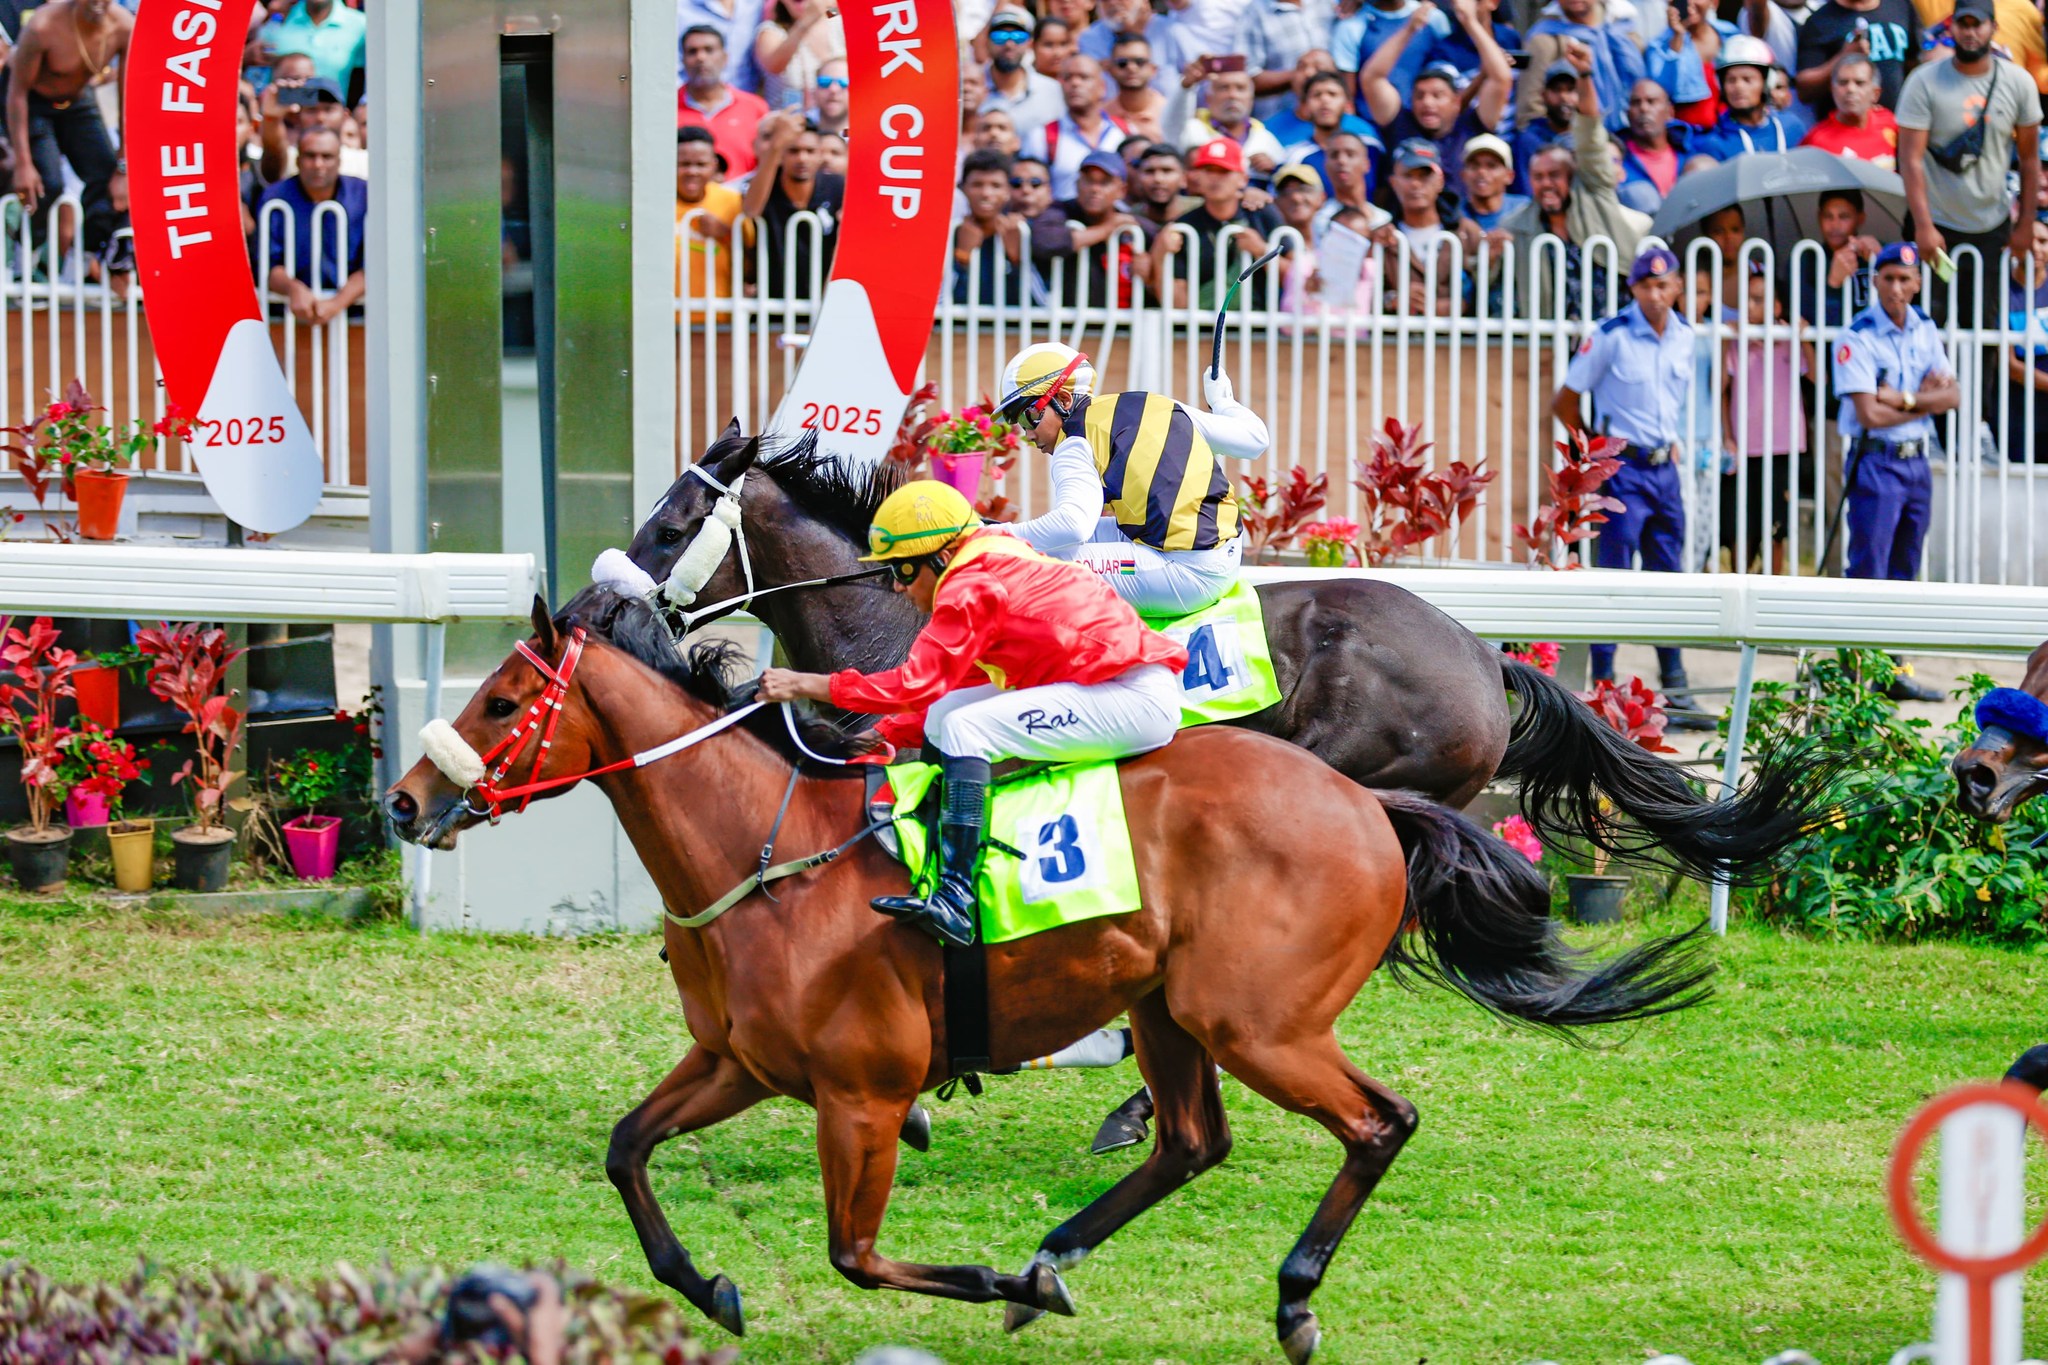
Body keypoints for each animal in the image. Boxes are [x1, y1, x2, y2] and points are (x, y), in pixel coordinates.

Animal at [384, 586, 1713, 1363]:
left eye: (501, 699)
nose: (402, 803)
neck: (765, 852)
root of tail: (1363, 803)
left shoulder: (861, 1091)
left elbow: (854, 1253)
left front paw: (976, 1273)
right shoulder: (736, 1062)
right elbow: (626, 1151)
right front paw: (709, 1287)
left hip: (1259, 1021)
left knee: (1376, 1122)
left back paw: (1281, 1295)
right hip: (1168, 1009)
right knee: (1189, 1142)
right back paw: (1052, 1264)